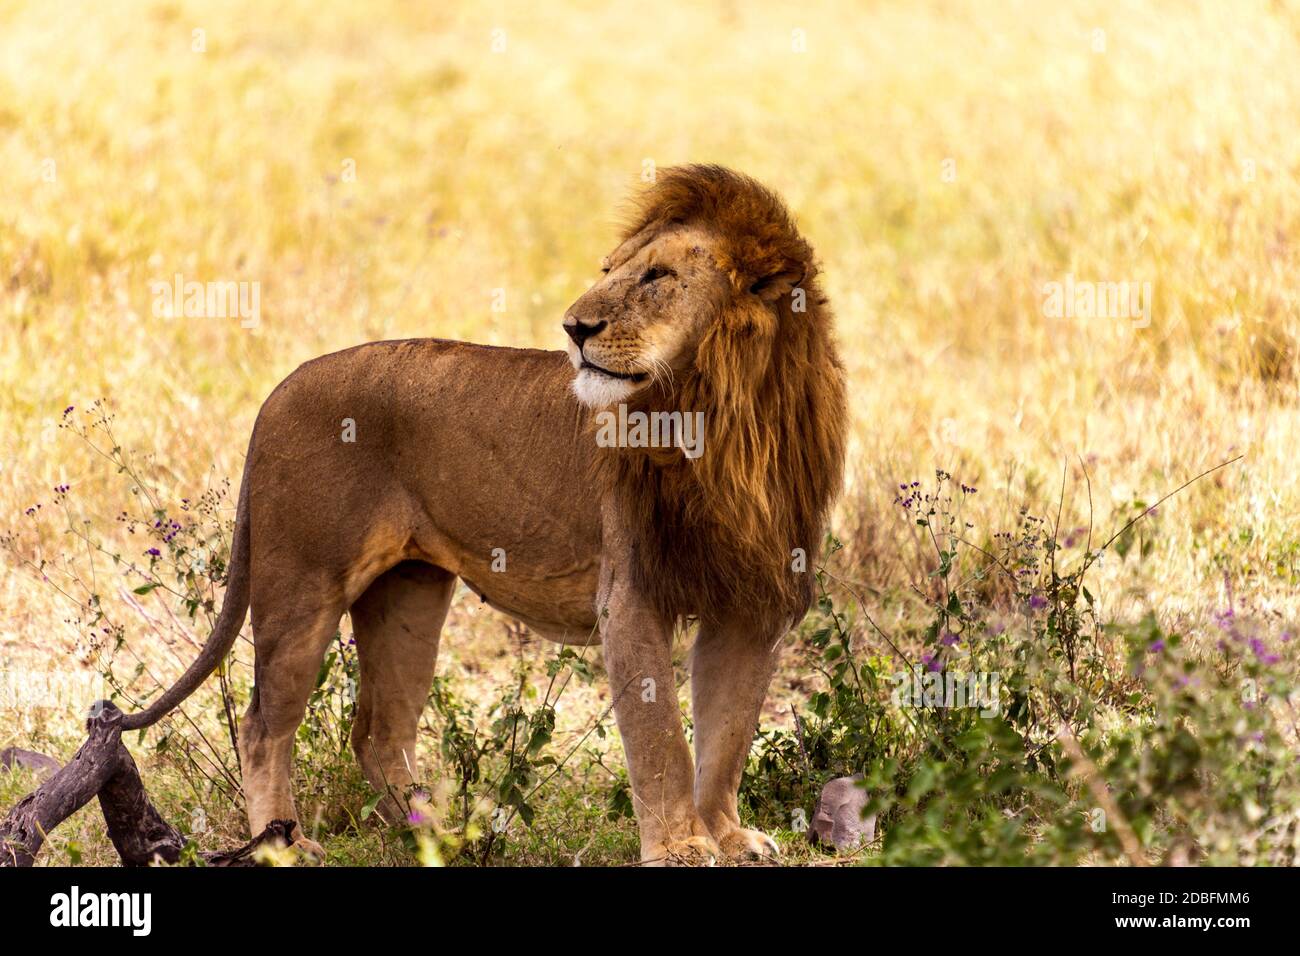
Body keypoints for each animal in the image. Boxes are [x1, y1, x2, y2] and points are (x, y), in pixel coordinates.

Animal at [120, 165, 848, 865]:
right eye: (608, 270)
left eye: (658, 277)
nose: (573, 329)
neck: (725, 422)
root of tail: (279, 389)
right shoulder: (632, 594)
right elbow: (662, 736)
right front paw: (682, 849)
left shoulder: (754, 601)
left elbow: (728, 735)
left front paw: (729, 835)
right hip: (301, 582)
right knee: (263, 724)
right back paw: (285, 846)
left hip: (407, 592)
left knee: (377, 730)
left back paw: (441, 839)